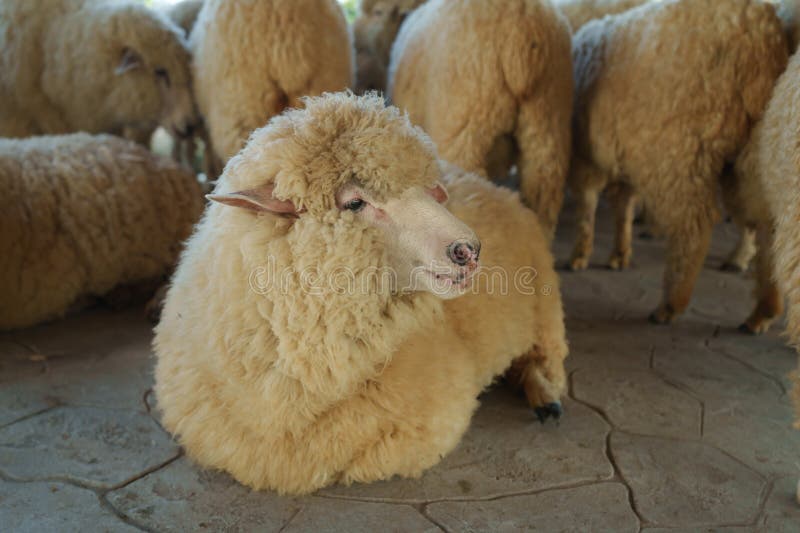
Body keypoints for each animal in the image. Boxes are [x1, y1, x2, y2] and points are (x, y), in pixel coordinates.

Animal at [154, 92, 569, 495]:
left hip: (545, 310)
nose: (469, 250)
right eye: (355, 203)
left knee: (540, 358)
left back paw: (545, 397)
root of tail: (490, 185)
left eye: (426, 191)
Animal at [567, 0, 787, 324]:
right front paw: (620, 252)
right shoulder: (625, 157)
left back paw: (672, 302)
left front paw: (579, 254)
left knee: (696, 223)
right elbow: (623, 207)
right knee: (768, 224)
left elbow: (587, 205)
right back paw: (764, 309)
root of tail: (759, 35)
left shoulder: (587, 157)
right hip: (755, 150)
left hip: (684, 148)